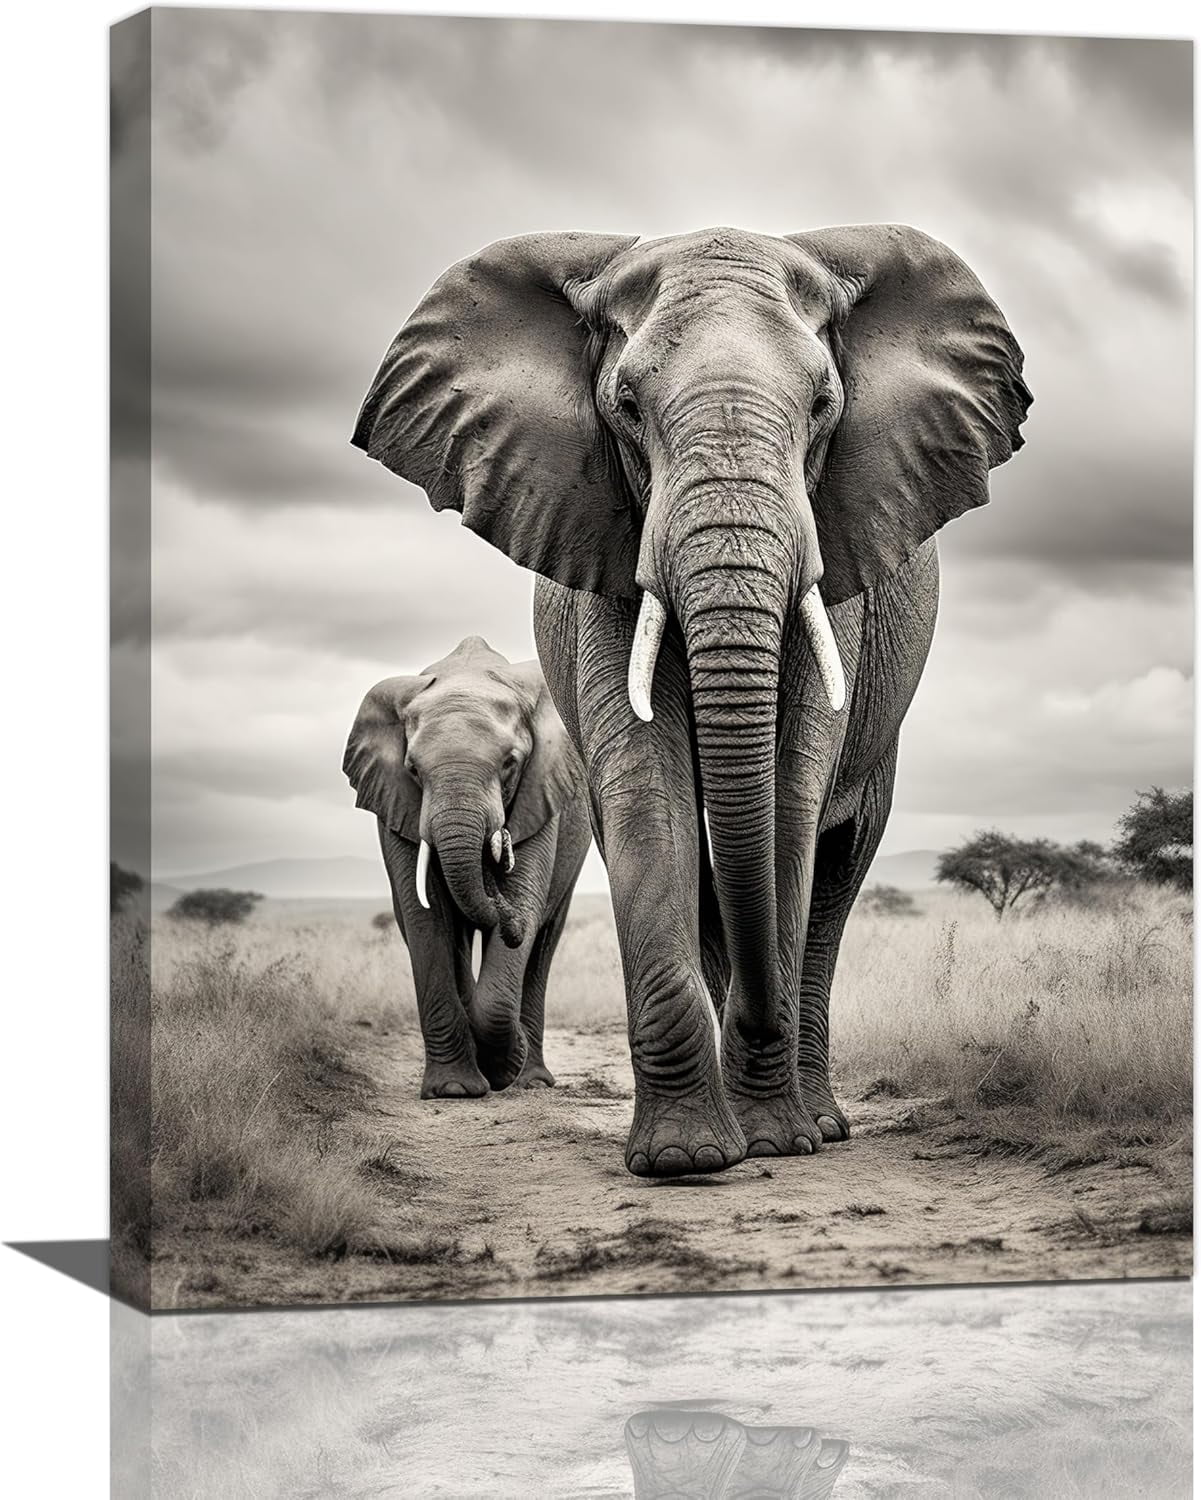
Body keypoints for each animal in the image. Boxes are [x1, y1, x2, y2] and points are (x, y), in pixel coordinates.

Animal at [343, 636, 591, 1098]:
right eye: (413, 769)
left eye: (510, 763)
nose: (504, 917)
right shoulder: (396, 804)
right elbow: (424, 916)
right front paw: (454, 1090)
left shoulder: (541, 794)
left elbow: (526, 897)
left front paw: (505, 1067)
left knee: (544, 942)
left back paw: (531, 1080)